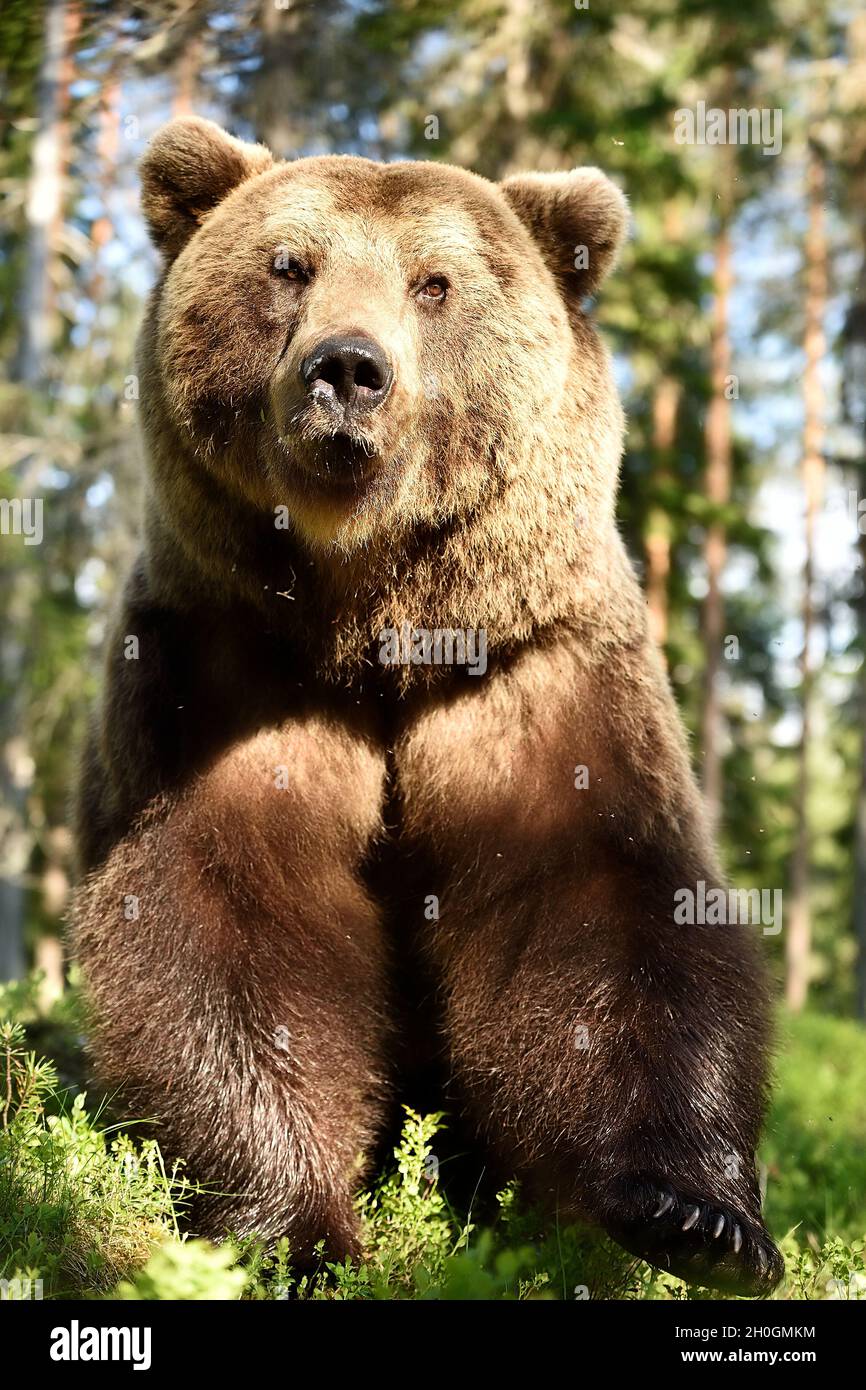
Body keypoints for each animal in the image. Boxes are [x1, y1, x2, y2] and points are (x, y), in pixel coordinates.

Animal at [72, 115, 784, 1297]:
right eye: (288, 265)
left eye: (435, 282)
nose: (347, 369)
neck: (373, 627)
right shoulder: (223, 667)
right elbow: (221, 908)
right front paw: (297, 1225)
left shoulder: (533, 674)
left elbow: (603, 899)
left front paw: (698, 1213)